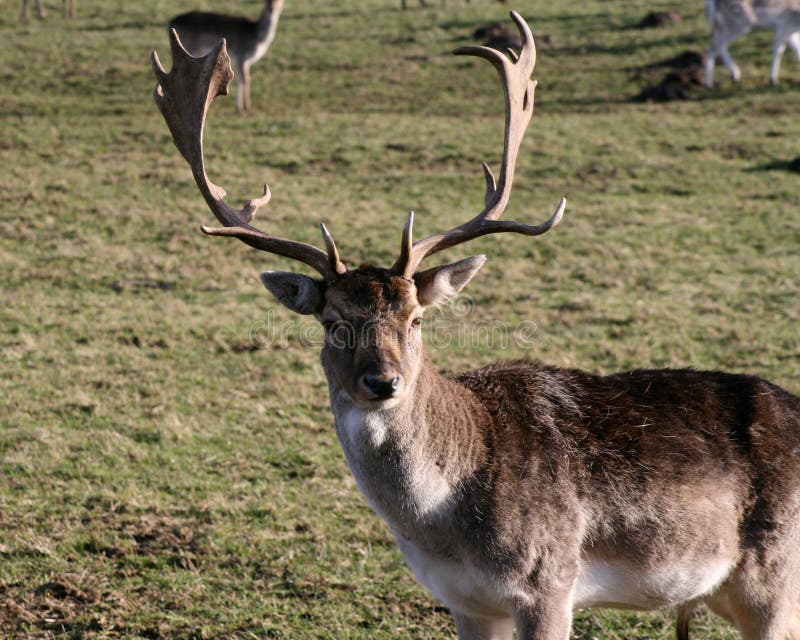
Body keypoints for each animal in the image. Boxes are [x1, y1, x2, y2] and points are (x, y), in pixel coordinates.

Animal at [151, 12, 800, 640]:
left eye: (416, 317)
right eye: (332, 322)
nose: (382, 382)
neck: (446, 528)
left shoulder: (549, 581)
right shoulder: (464, 601)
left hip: (774, 583)